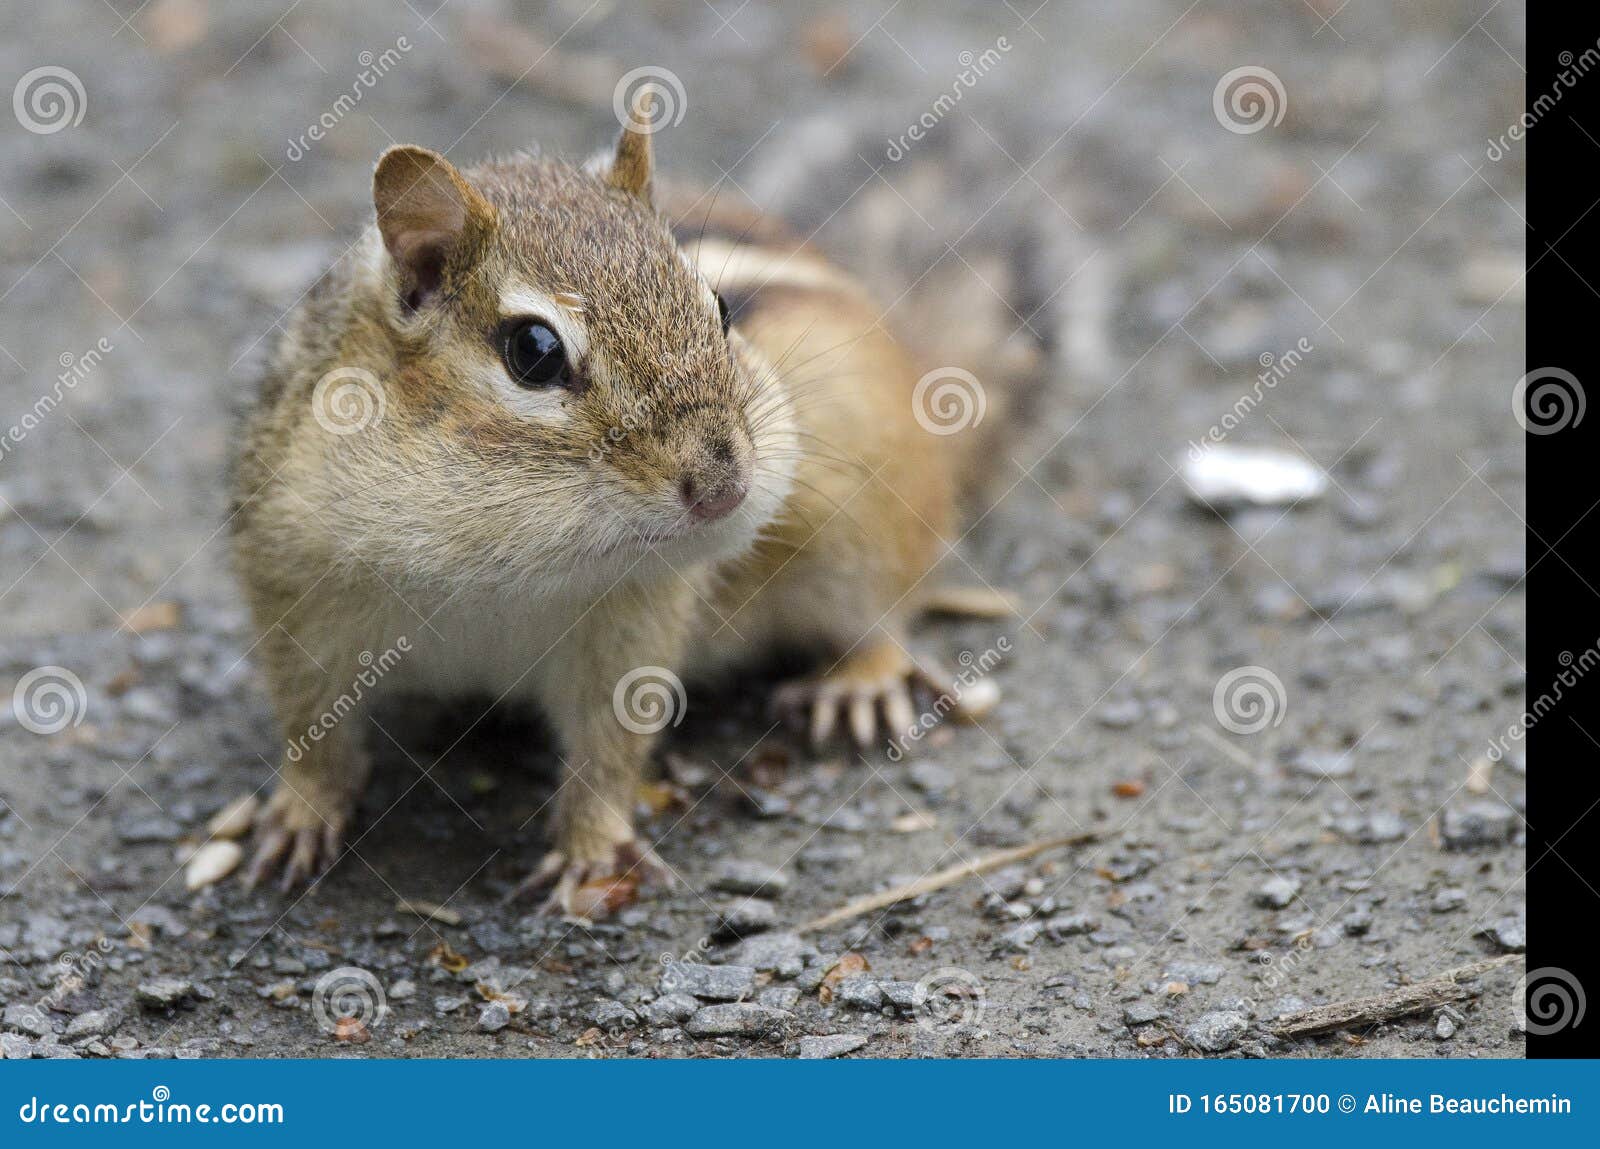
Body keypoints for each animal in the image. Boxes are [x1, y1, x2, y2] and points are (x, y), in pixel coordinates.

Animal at [229, 91, 1032, 915]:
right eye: (534, 352)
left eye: (720, 308)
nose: (723, 487)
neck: (503, 562)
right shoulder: (295, 584)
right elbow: (311, 725)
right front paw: (300, 812)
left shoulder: (634, 623)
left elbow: (611, 746)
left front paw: (591, 848)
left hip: (858, 522)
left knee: (882, 608)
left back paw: (860, 679)